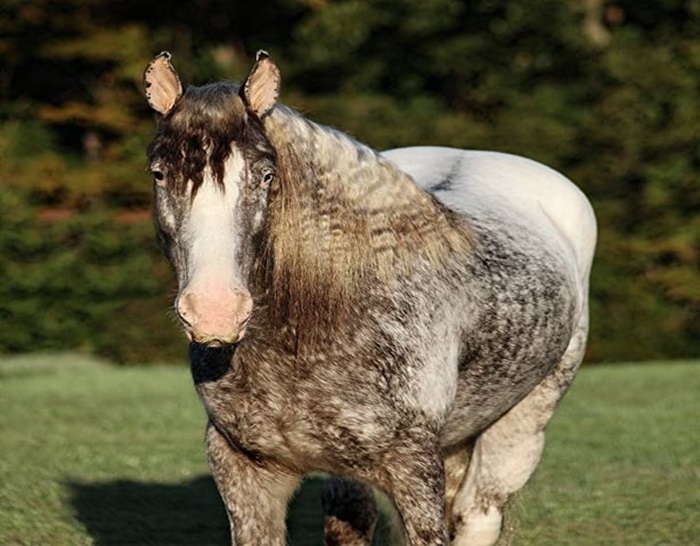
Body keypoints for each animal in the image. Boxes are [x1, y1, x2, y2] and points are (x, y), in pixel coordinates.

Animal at [142, 51, 596, 546]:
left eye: (266, 175)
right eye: (159, 173)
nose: (215, 312)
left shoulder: (414, 469)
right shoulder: (242, 468)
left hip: (522, 425)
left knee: (480, 511)